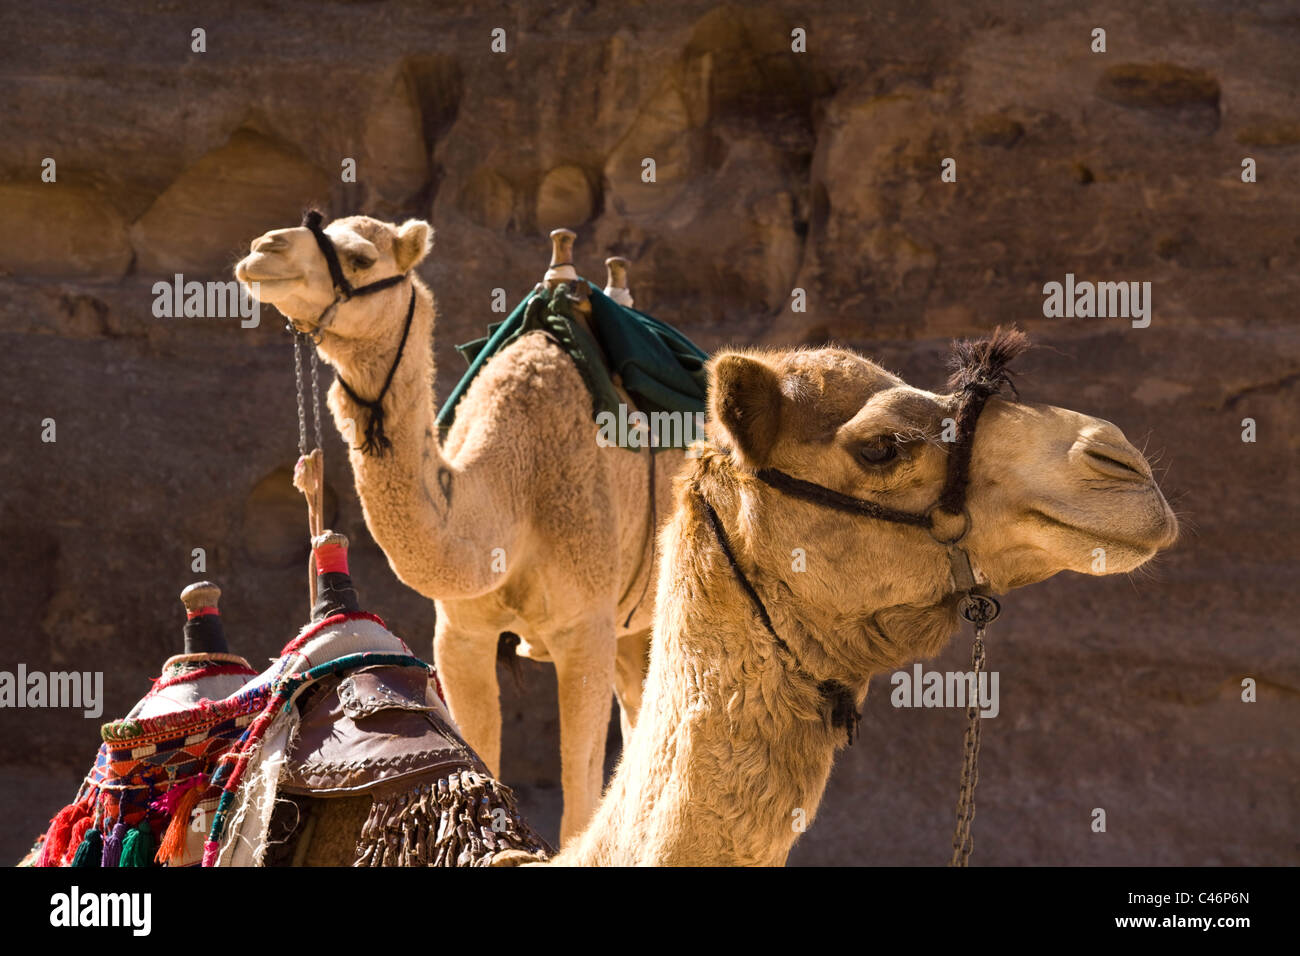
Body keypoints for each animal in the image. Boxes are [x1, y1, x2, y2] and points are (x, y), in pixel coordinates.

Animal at [235, 215, 685, 842]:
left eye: (361, 256)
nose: (262, 249)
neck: (513, 490)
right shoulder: (460, 632)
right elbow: (479, 755)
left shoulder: (583, 625)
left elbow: (578, 793)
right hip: (629, 623)